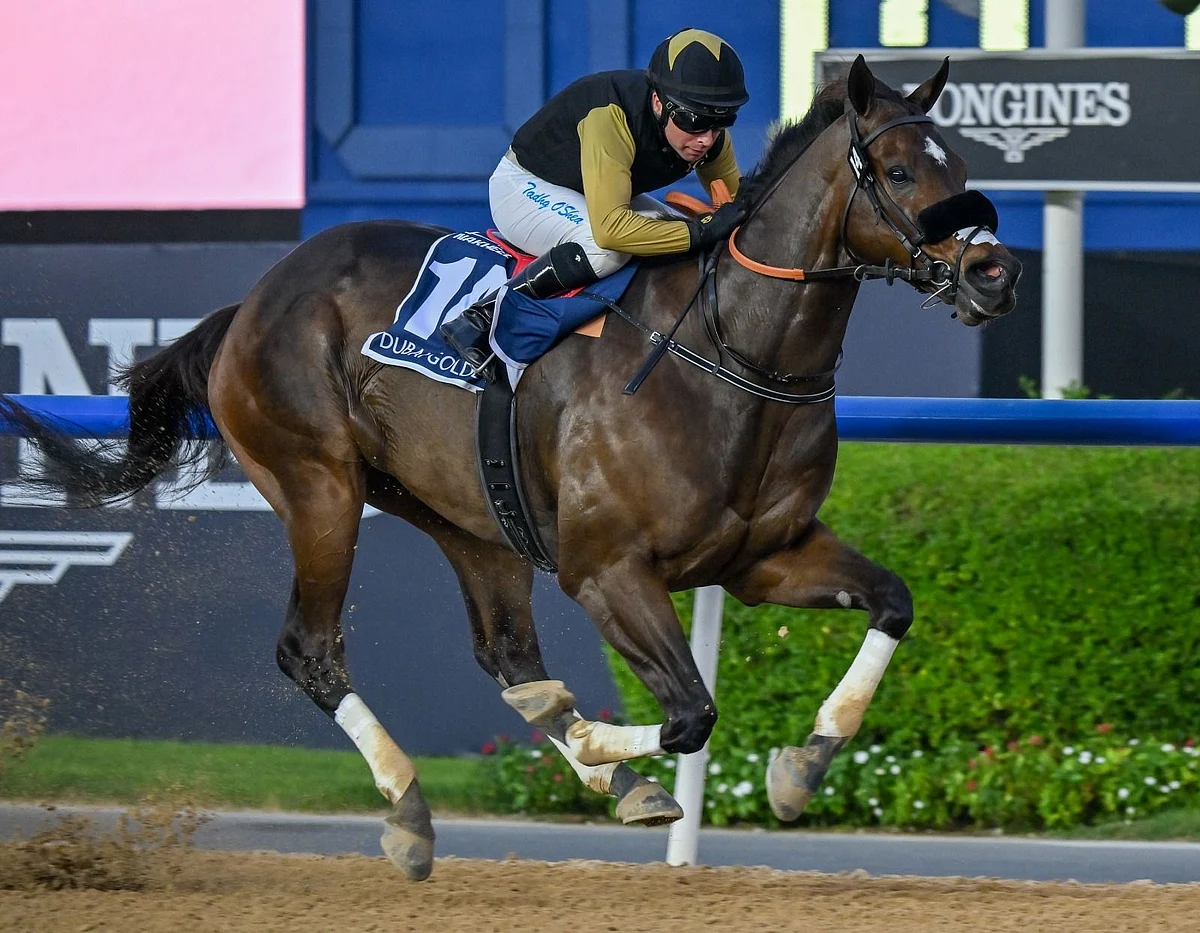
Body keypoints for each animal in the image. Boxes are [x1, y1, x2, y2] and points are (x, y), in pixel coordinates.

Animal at [2, 56, 1019, 880]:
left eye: (964, 171)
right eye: (900, 171)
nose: (994, 274)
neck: (731, 357)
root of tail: (252, 298)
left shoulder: (764, 556)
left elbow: (892, 601)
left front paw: (800, 767)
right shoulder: (606, 569)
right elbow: (692, 711)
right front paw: (612, 747)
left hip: (468, 515)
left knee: (505, 652)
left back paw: (578, 755)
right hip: (319, 485)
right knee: (311, 649)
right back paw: (414, 809)